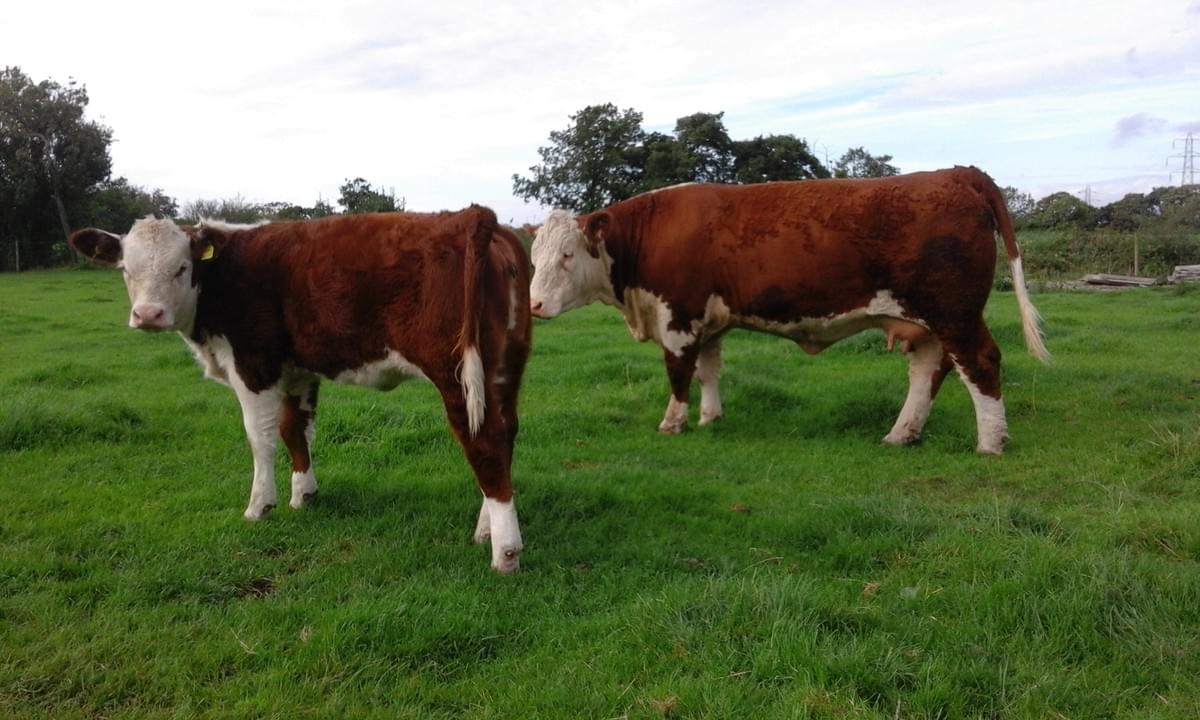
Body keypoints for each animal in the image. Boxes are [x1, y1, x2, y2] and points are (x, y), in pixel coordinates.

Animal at [69, 207, 532, 573]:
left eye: (181, 267)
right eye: (125, 270)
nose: (147, 314)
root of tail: (466, 216)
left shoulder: (253, 365)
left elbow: (261, 439)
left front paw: (260, 505)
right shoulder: (298, 371)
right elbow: (296, 430)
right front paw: (302, 495)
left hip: (457, 373)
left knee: (483, 442)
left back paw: (505, 552)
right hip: (503, 369)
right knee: (505, 434)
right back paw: (485, 528)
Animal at [529, 167, 1049, 455]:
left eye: (568, 255)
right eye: (533, 256)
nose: (533, 304)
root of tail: (956, 173)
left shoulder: (677, 318)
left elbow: (678, 374)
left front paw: (672, 424)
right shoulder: (709, 322)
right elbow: (708, 371)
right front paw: (710, 419)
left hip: (954, 313)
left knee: (980, 363)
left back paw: (990, 443)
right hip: (925, 321)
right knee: (927, 372)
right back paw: (902, 434)